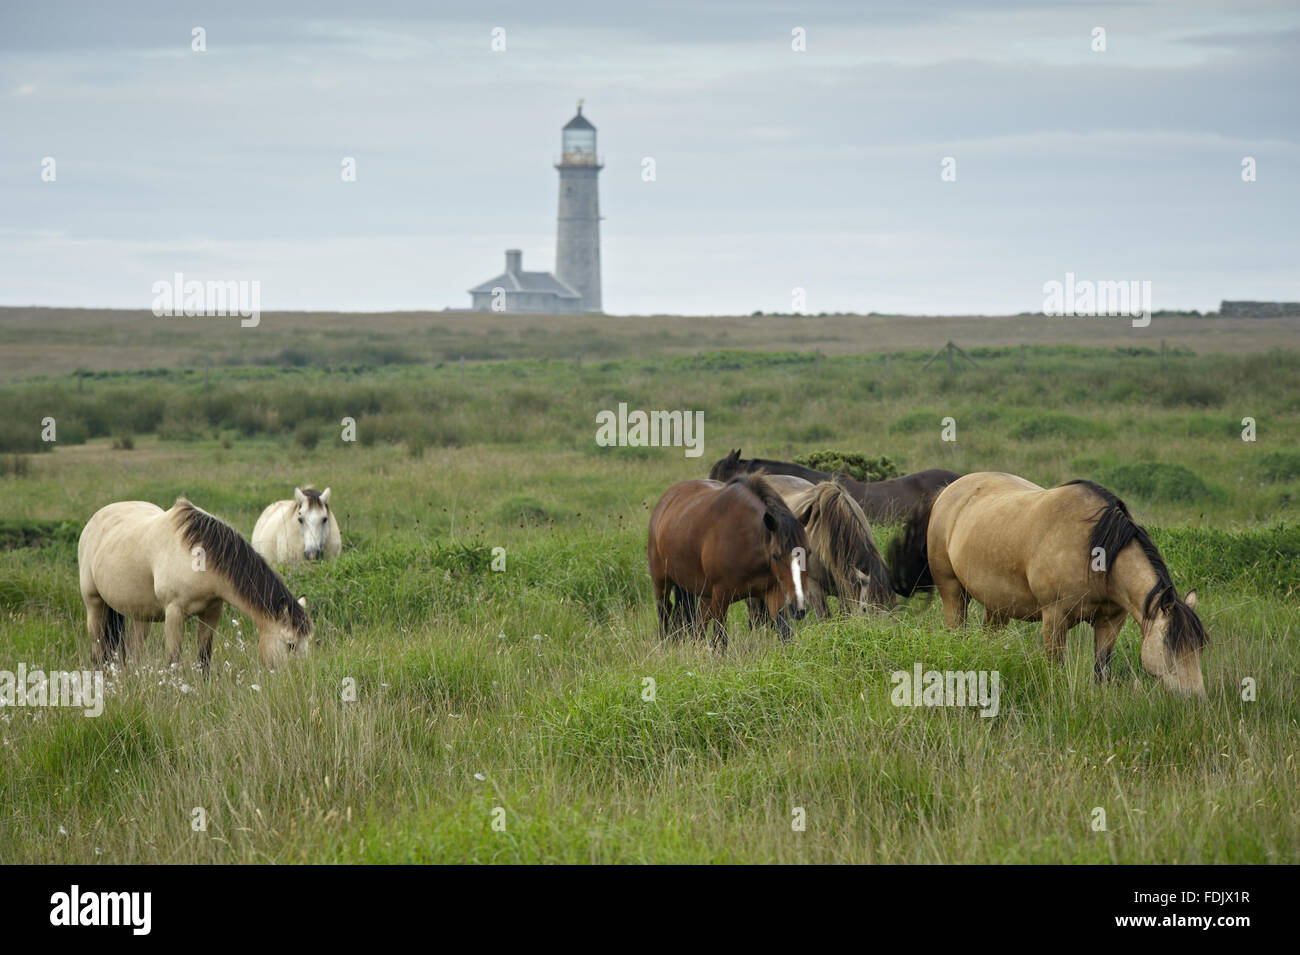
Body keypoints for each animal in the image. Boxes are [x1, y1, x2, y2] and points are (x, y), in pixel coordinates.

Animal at [78, 498, 313, 672]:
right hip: (94, 604)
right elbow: (174, 662)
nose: (298, 677)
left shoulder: (212, 612)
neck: (198, 558)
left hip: (139, 615)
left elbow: (204, 660)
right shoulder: (174, 613)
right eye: (291, 645)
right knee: (97, 652)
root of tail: (95, 519)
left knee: (133, 653)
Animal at [648, 474, 809, 647]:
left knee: (700, 624)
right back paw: (663, 643)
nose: (799, 608)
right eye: (775, 556)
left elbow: (785, 632)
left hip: (704, 593)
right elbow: (720, 639)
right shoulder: (721, 596)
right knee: (664, 610)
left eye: (808, 553)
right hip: (661, 581)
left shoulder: (773, 593)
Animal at [887, 472, 1208, 698]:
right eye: (1170, 646)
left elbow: (1101, 670)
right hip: (953, 592)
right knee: (957, 630)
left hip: (997, 606)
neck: (1096, 554)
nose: (1195, 698)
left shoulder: (1110, 621)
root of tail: (947, 492)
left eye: (1199, 648)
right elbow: (1055, 668)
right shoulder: (1055, 617)